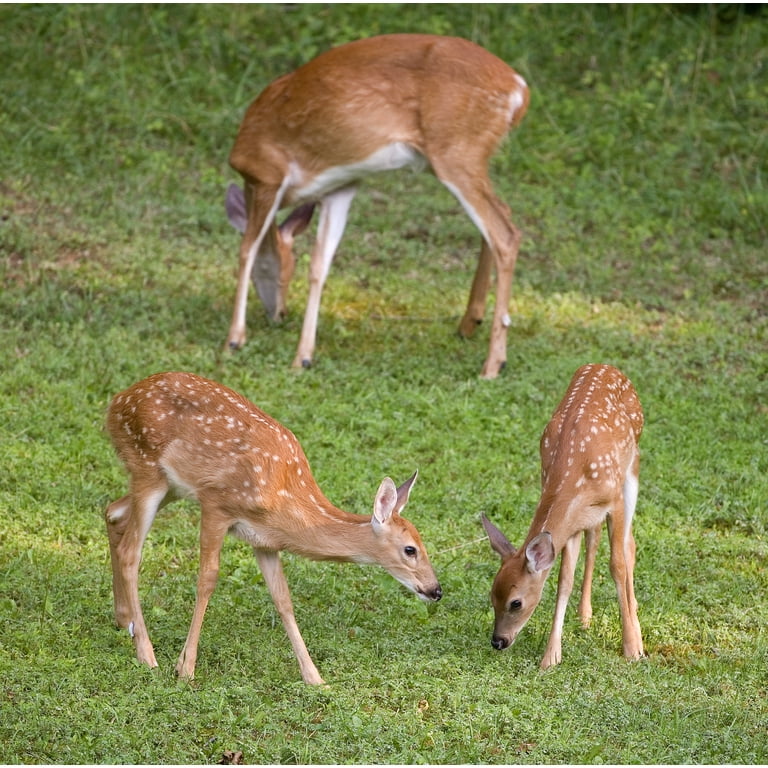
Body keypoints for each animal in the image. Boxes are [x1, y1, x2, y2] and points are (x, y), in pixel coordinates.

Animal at [104, 371, 442, 685]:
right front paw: (185, 669)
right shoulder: (216, 504)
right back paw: (146, 654)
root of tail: (116, 401)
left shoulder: (264, 539)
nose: (435, 590)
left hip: (170, 486)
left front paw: (315, 678)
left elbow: (283, 599)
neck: (284, 500)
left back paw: (124, 619)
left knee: (113, 513)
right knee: (131, 551)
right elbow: (207, 580)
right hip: (147, 466)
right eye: (410, 549)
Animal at [224, 33, 530, 379]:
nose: (279, 313)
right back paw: (469, 324)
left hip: (457, 151)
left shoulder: (266, 176)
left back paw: (493, 363)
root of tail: (520, 90)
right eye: (288, 264)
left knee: (505, 234)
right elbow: (320, 265)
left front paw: (234, 340)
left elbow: (247, 249)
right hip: (463, 158)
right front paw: (303, 356)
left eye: (278, 270)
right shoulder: (341, 186)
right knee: (500, 216)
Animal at [482, 363, 645, 669]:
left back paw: (636, 623)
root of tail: (606, 365)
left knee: (629, 545)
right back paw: (585, 615)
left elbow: (617, 564)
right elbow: (563, 580)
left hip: (632, 466)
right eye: (492, 595)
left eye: (515, 602)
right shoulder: (572, 522)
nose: (498, 641)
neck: (571, 470)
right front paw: (551, 656)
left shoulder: (613, 500)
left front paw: (631, 648)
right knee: (595, 538)